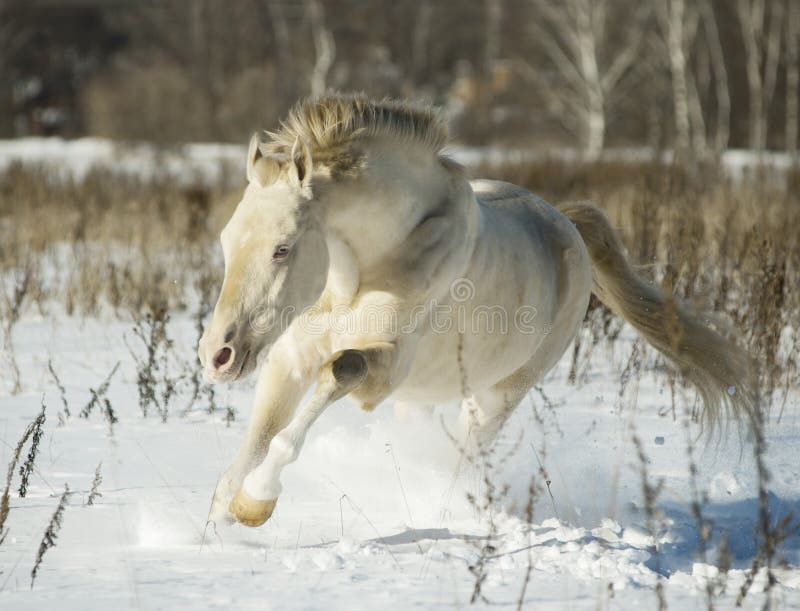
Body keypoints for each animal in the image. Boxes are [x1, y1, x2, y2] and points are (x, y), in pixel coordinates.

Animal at [198, 94, 756, 528]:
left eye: (283, 249)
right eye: (225, 239)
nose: (216, 355)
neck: (361, 271)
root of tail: (567, 226)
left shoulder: (382, 370)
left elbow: (330, 383)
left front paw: (255, 504)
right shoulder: (288, 361)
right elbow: (257, 440)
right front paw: (218, 521)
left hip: (497, 396)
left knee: (464, 457)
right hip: (421, 398)